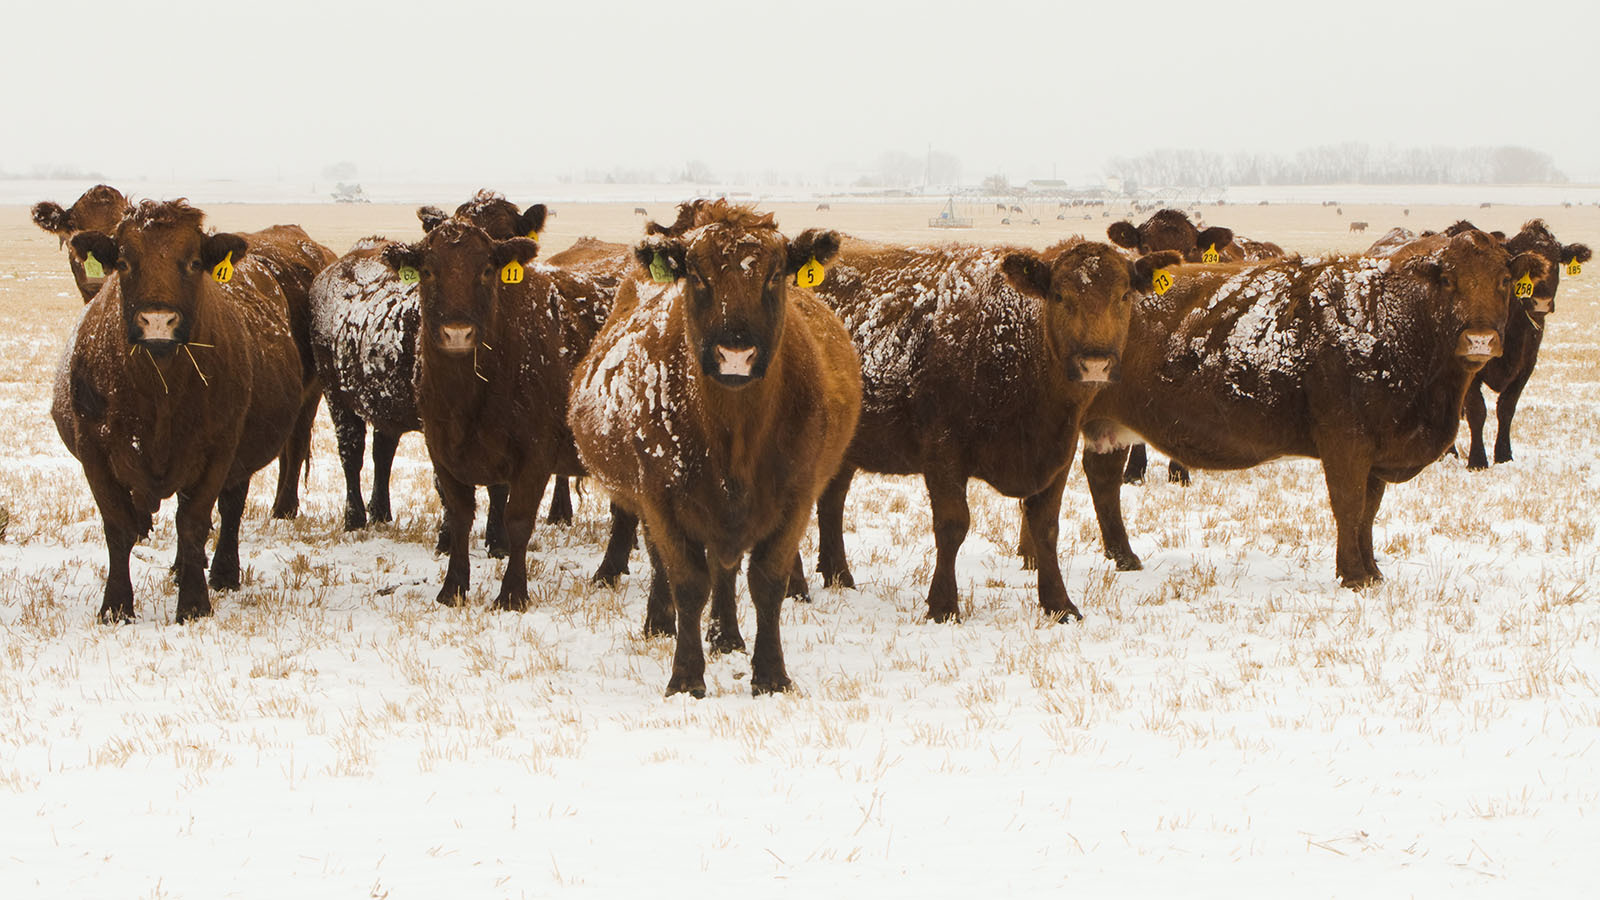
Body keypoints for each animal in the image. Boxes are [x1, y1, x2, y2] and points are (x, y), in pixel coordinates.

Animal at [54, 200, 306, 622]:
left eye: (193, 262)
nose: (158, 321)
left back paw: (222, 572)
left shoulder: (218, 450)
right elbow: (119, 526)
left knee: (230, 509)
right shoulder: (95, 451)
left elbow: (194, 523)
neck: (160, 393)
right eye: (123, 262)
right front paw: (116, 605)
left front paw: (193, 602)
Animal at [376, 218, 637, 607]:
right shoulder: (439, 448)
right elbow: (459, 517)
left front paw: (513, 593)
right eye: (427, 271)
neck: (466, 398)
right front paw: (452, 588)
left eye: (486, 270)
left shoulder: (535, 454)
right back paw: (608, 573)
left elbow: (517, 520)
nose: (457, 333)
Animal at [569, 201, 862, 696]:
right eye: (698, 276)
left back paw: (726, 635)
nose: (735, 354)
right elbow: (687, 582)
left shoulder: (796, 497)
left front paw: (771, 674)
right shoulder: (661, 498)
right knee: (664, 561)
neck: (734, 436)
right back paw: (660, 621)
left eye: (775, 275)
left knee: (725, 569)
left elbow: (767, 582)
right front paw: (686, 677)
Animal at [810, 238, 1175, 621]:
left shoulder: (1059, 452)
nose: (1095, 363)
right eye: (1059, 295)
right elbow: (952, 525)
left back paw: (838, 575)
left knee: (831, 500)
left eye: (1124, 295)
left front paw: (1059, 604)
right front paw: (943, 605)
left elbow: (1046, 526)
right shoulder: (943, 451)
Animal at [1077, 230, 1549, 587]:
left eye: (1504, 280)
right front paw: (1353, 574)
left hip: (1110, 426)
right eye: (1449, 280)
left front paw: (1372, 570)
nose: (1480, 339)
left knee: (1103, 480)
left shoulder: (1374, 453)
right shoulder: (1346, 442)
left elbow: (1368, 511)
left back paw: (1122, 556)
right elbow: (1348, 504)